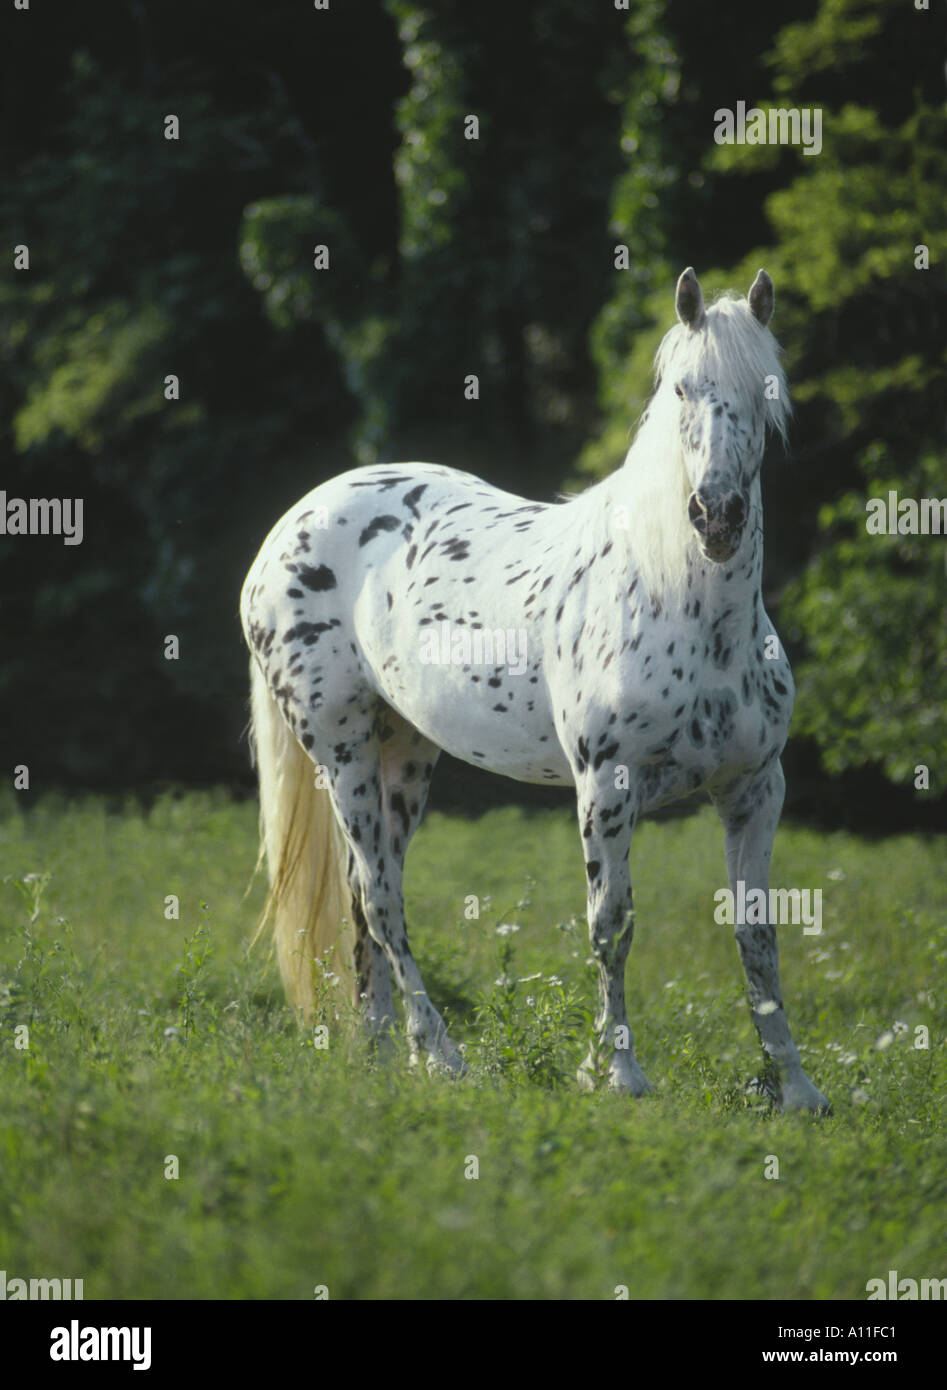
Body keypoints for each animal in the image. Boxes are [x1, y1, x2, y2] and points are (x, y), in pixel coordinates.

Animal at [240, 266, 831, 1114]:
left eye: (765, 391)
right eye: (681, 389)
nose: (715, 516)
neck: (680, 602)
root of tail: (294, 523)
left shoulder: (754, 788)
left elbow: (756, 932)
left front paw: (795, 1087)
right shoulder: (606, 789)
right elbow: (611, 925)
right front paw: (617, 1073)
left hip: (403, 755)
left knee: (364, 894)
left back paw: (382, 1053)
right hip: (341, 752)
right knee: (381, 899)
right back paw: (441, 1055)